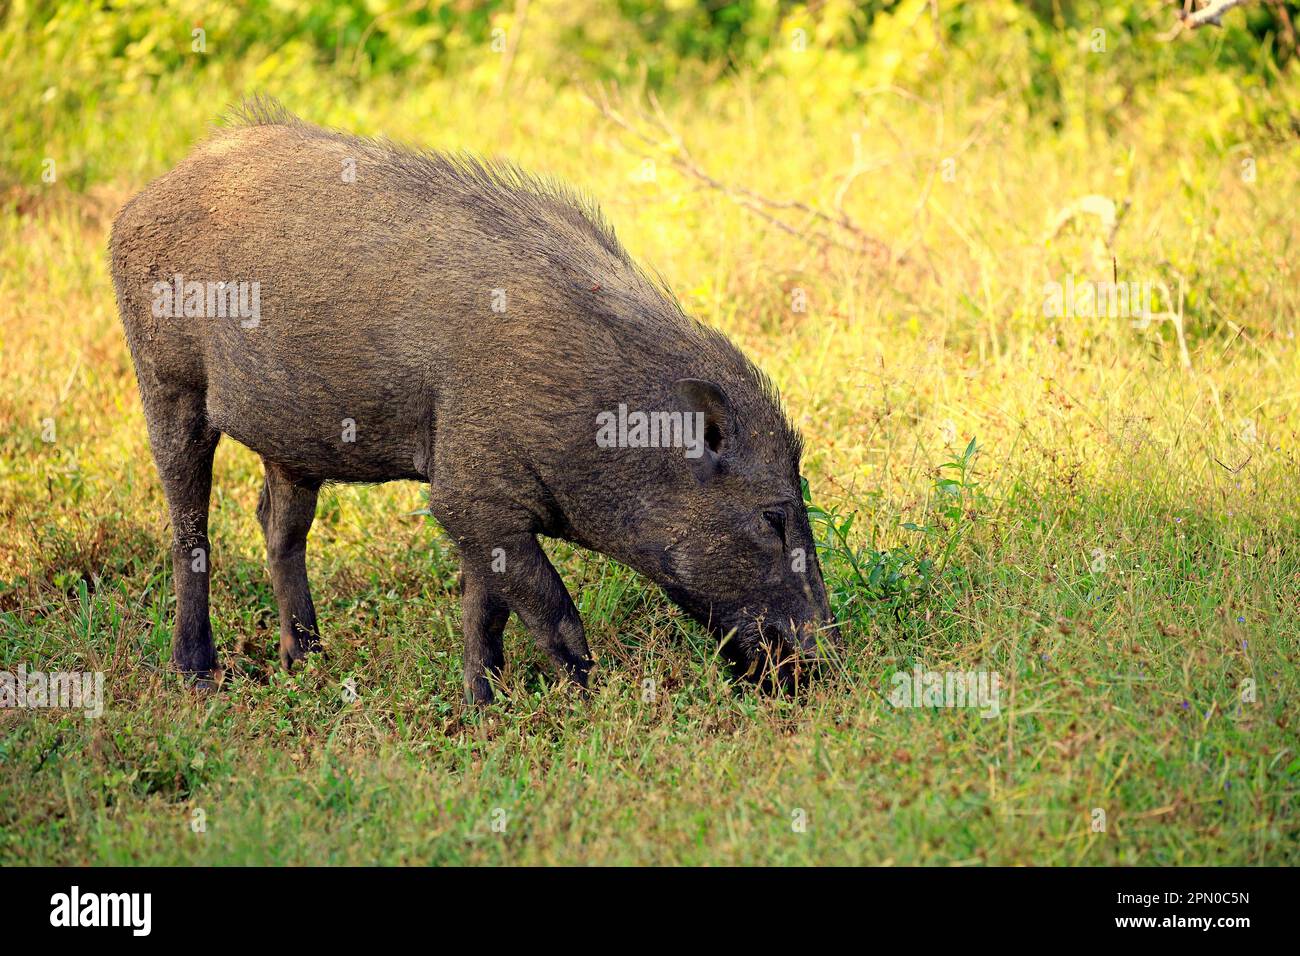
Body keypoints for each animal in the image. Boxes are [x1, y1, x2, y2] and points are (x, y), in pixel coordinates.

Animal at [110, 97, 838, 702]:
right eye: (773, 517)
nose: (827, 663)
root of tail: (142, 198)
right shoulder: (468, 495)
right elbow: (551, 608)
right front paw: (586, 698)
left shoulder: (481, 504)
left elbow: (485, 608)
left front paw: (484, 702)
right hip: (166, 385)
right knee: (189, 527)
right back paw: (198, 673)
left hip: (292, 445)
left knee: (277, 525)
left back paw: (306, 661)